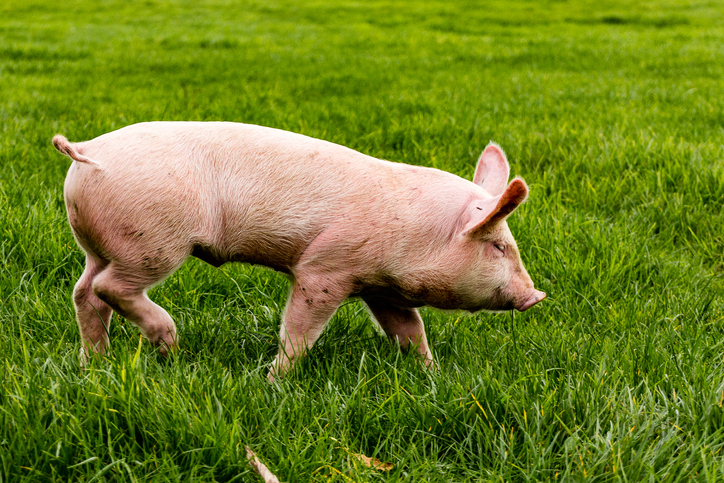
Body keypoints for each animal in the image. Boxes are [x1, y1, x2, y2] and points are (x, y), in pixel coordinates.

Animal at [53, 122, 545, 379]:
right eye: (498, 245)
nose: (536, 296)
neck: (418, 231)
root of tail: (88, 150)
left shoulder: (379, 286)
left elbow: (410, 329)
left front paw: (431, 374)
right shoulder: (325, 269)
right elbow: (301, 329)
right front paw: (274, 380)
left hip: (99, 243)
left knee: (84, 292)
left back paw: (94, 362)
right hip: (154, 242)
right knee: (110, 287)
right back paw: (170, 345)